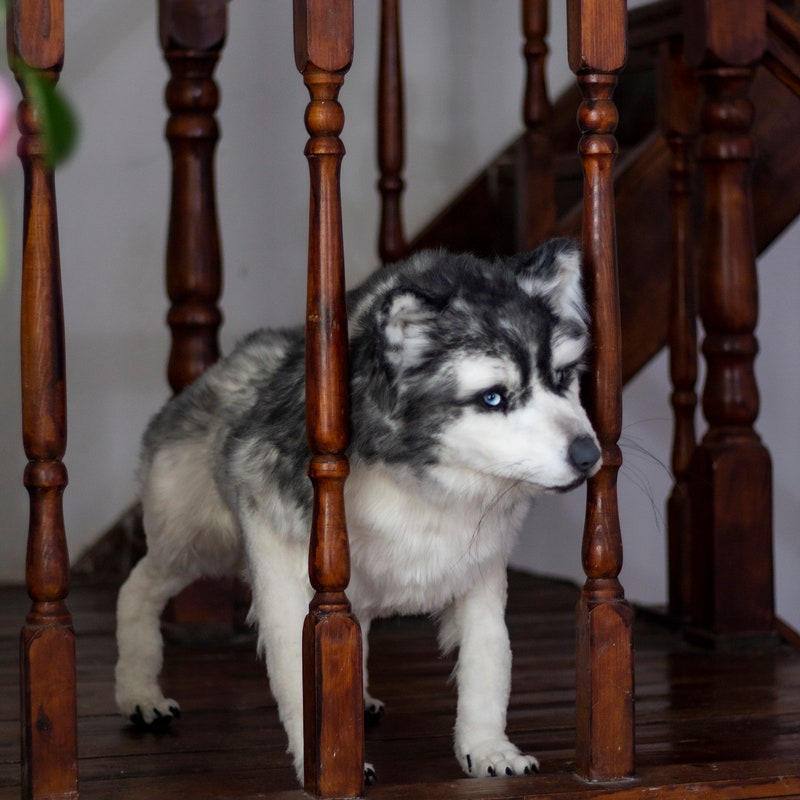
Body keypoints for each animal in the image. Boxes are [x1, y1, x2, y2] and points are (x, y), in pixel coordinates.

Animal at [115, 238, 601, 783]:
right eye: (494, 397)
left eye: (562, 377)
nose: (590, 455)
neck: (417, 485)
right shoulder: (287, 590)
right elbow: (301, 679)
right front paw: (324, 765)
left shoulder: (482, 577)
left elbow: (489, 665)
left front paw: (489, 748)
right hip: (193, 546)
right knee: (135, 589)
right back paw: (138, 694)